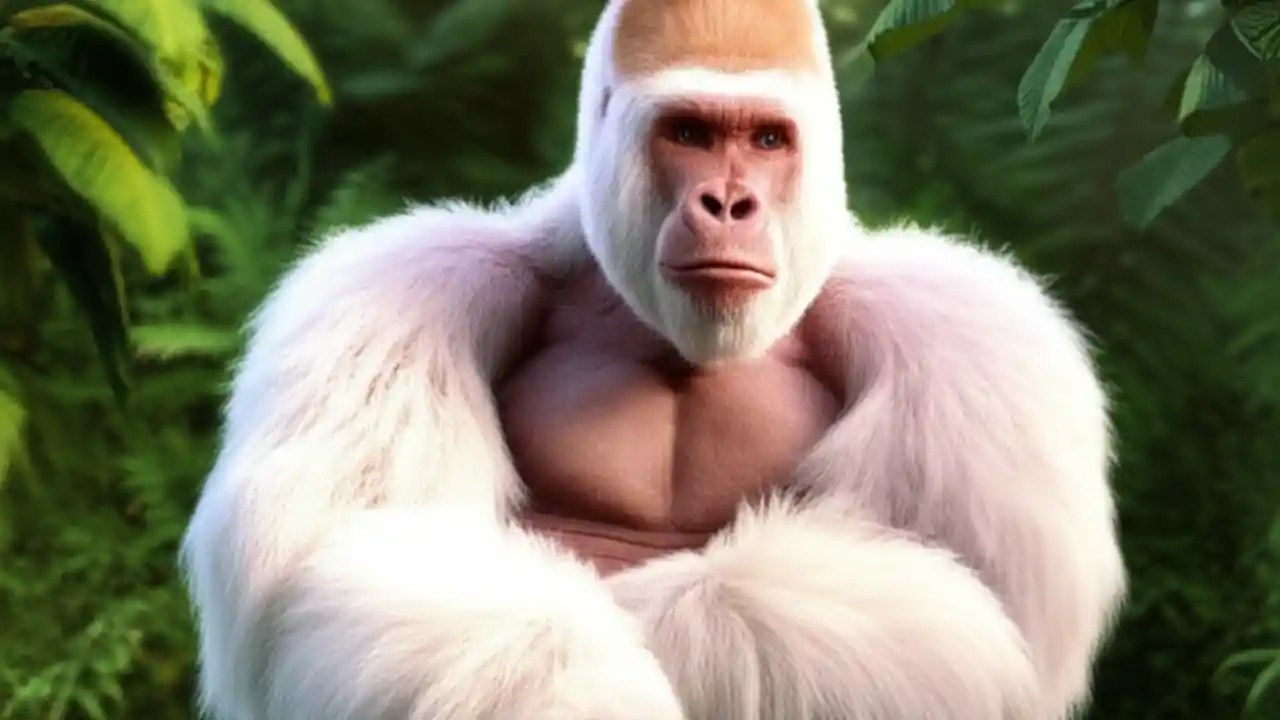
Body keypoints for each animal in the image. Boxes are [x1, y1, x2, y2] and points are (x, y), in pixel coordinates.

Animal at [179, 1, 1126, 718]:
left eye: (769, 140)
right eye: (690, 132)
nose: (729, 203)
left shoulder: (968, 338)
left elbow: (979, 616)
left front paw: (681, 621)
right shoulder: (397, 296)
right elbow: (336, 565)